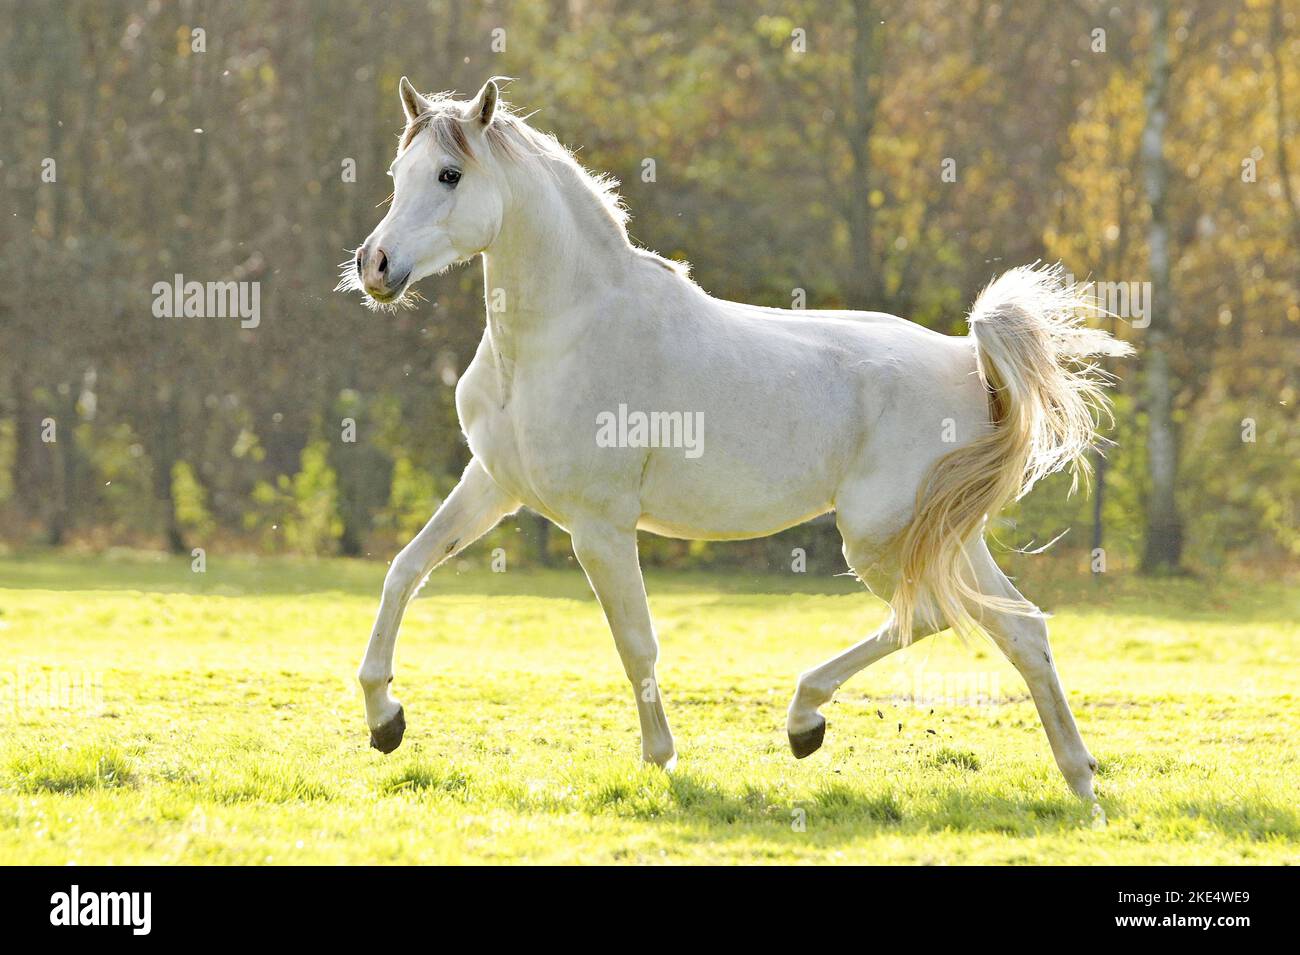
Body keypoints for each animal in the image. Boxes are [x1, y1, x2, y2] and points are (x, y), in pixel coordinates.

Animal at [338, 77, 1133, 801]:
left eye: (450, 174)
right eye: (398, 174)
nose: (374, 266)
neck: (561, 335)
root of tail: (972, 362)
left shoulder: (599, 526)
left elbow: (637, 642)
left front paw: (661, 759)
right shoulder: (493, 486)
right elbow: (404, 570)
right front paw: (385, 719)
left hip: (880, 538)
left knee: (938, 612)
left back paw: (806, 719)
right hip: (944, 536)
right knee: (1020, 627)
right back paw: (1080, 781)